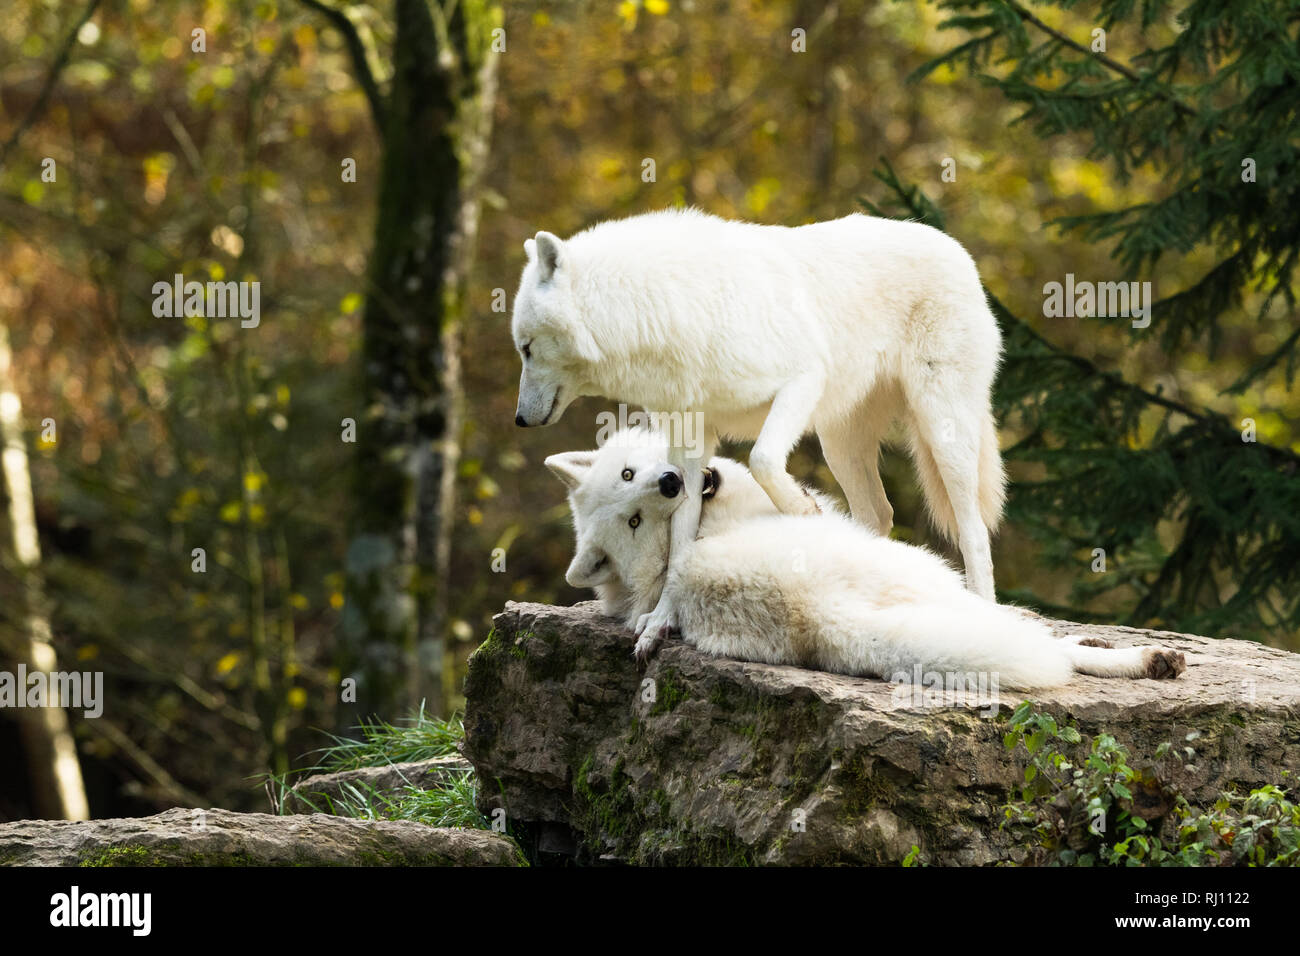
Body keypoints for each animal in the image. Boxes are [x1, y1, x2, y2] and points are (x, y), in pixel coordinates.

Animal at [512, 208, 1007, 646]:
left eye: (527, 348)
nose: (519, 419)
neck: (671, 312)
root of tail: (950, 245)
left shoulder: (802, 379)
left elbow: (763, 459)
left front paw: (803, 509)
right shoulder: (688, 450)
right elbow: (681, 546)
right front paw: (660, 622)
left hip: (943, 430)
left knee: (973, 530)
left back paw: (983, 607)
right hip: (839, 444)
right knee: (879, 514)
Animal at [546, 429, 1186, 688]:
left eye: (628, 475)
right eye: (636, 519)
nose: (672, 483)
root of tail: (819, 619)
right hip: (920, 568)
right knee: (1039, 645)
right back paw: (1148, 658)